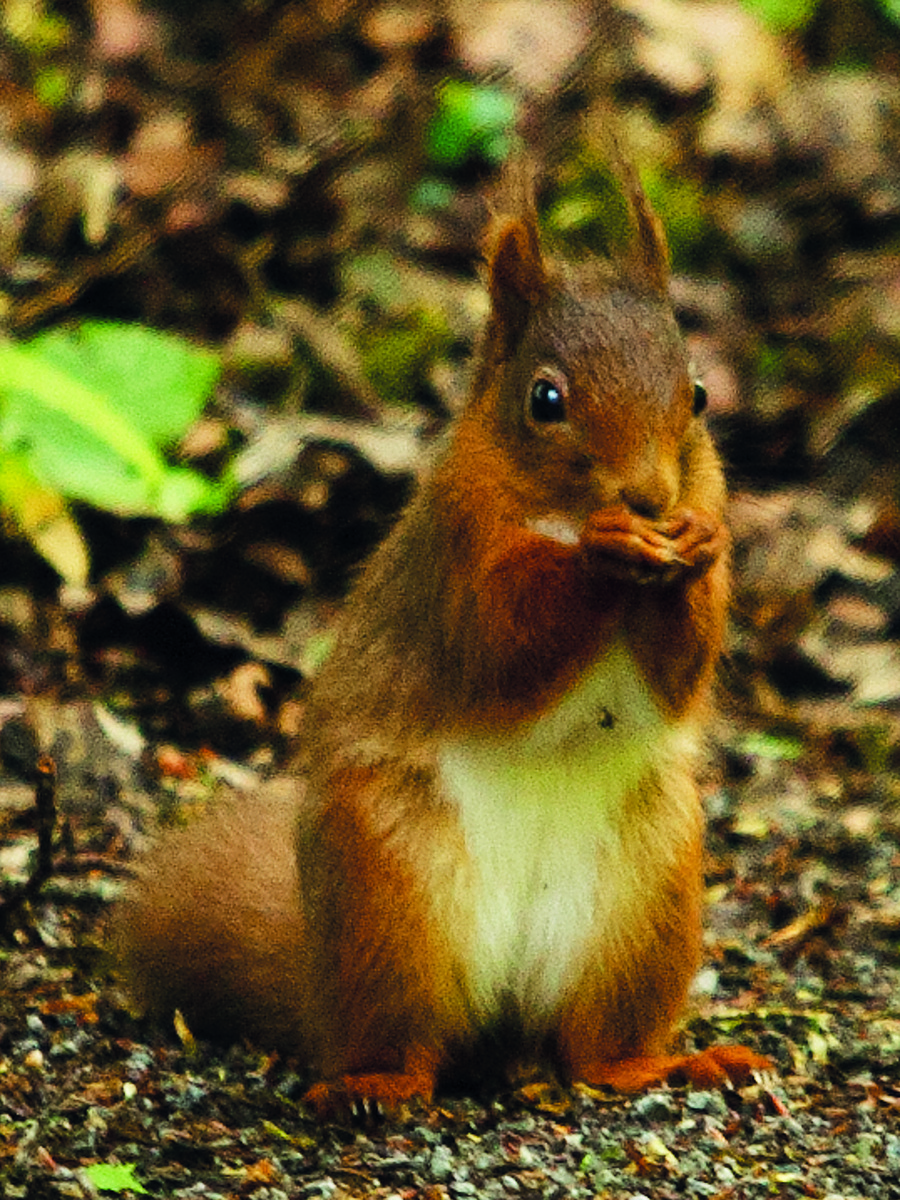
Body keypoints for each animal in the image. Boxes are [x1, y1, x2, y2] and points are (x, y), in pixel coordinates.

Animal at [114, 162, 770, 1115]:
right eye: (545, 400)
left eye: (699, 396)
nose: (649, 497)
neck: (556, 513)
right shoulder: (455, 562)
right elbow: (500, 647)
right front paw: (608, 549)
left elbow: (679, 670)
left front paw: (692, 550)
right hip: (386, 900)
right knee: (403, 1038)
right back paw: (376, 1083)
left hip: (646, 901)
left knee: (593, 1051)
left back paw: (666, 1063)